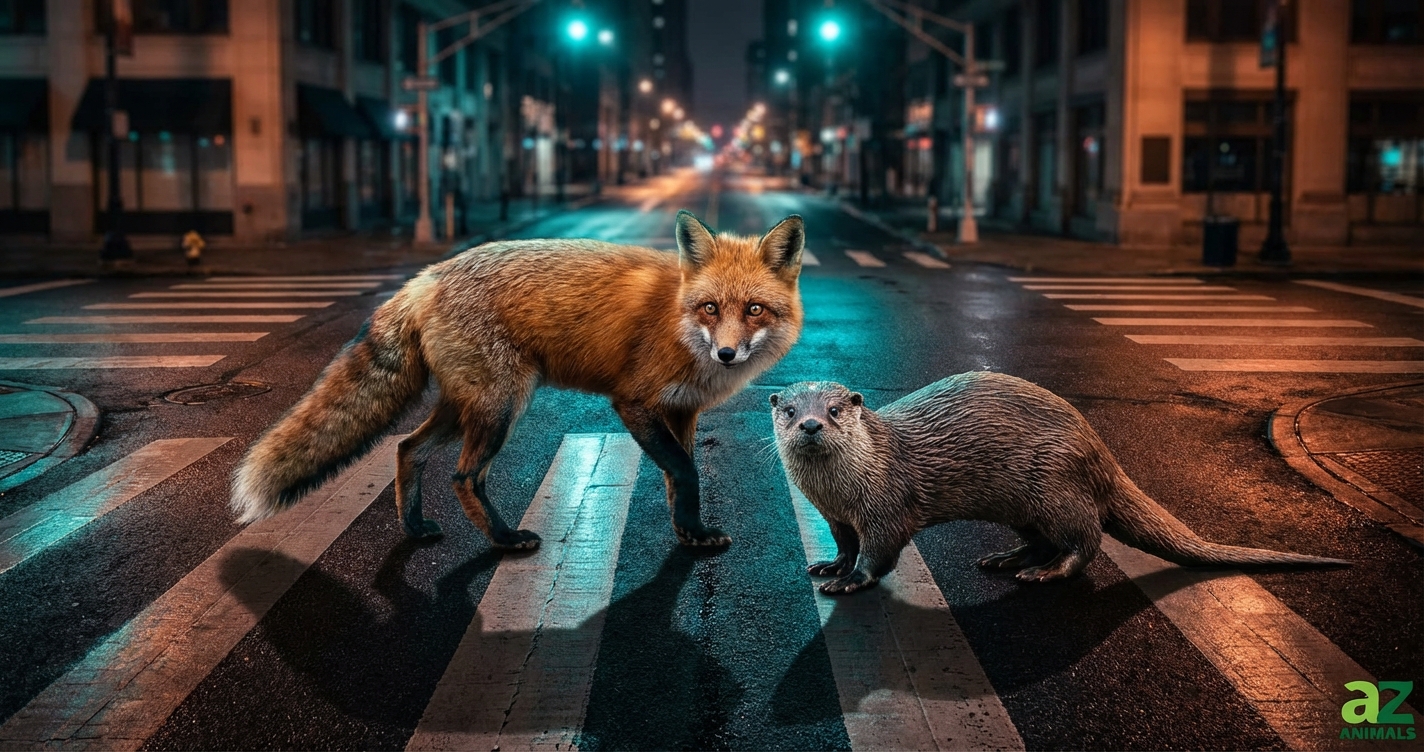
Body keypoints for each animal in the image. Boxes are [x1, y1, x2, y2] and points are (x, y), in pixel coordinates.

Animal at [231, 210, 805, 549]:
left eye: (754, 309)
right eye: (710, 308)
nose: (727, 354)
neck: (677, 321)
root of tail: (426, 277)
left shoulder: (681, 410)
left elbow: (680, 477)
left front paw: (690, 531)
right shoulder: (634, 403)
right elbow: (685, 472)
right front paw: (690, 528)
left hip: (466, 407)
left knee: (406, 448)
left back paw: (414, 528)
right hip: (502, 406)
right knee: (463, 477)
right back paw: (505, 541)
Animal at [771, 373, 1350, 594]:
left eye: (836, 409)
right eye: (790, 409)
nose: (811, 424)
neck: (843, 488)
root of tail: (1100, 451)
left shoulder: (884, 506)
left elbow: (879, 554)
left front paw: (850, 581)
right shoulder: (836, 516)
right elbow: (845, 545)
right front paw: (831, 566)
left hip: (1055, 484)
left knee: (1084, 539)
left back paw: (1045, 572)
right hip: (1024, 504)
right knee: (1041, 538)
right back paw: (1006, 558)